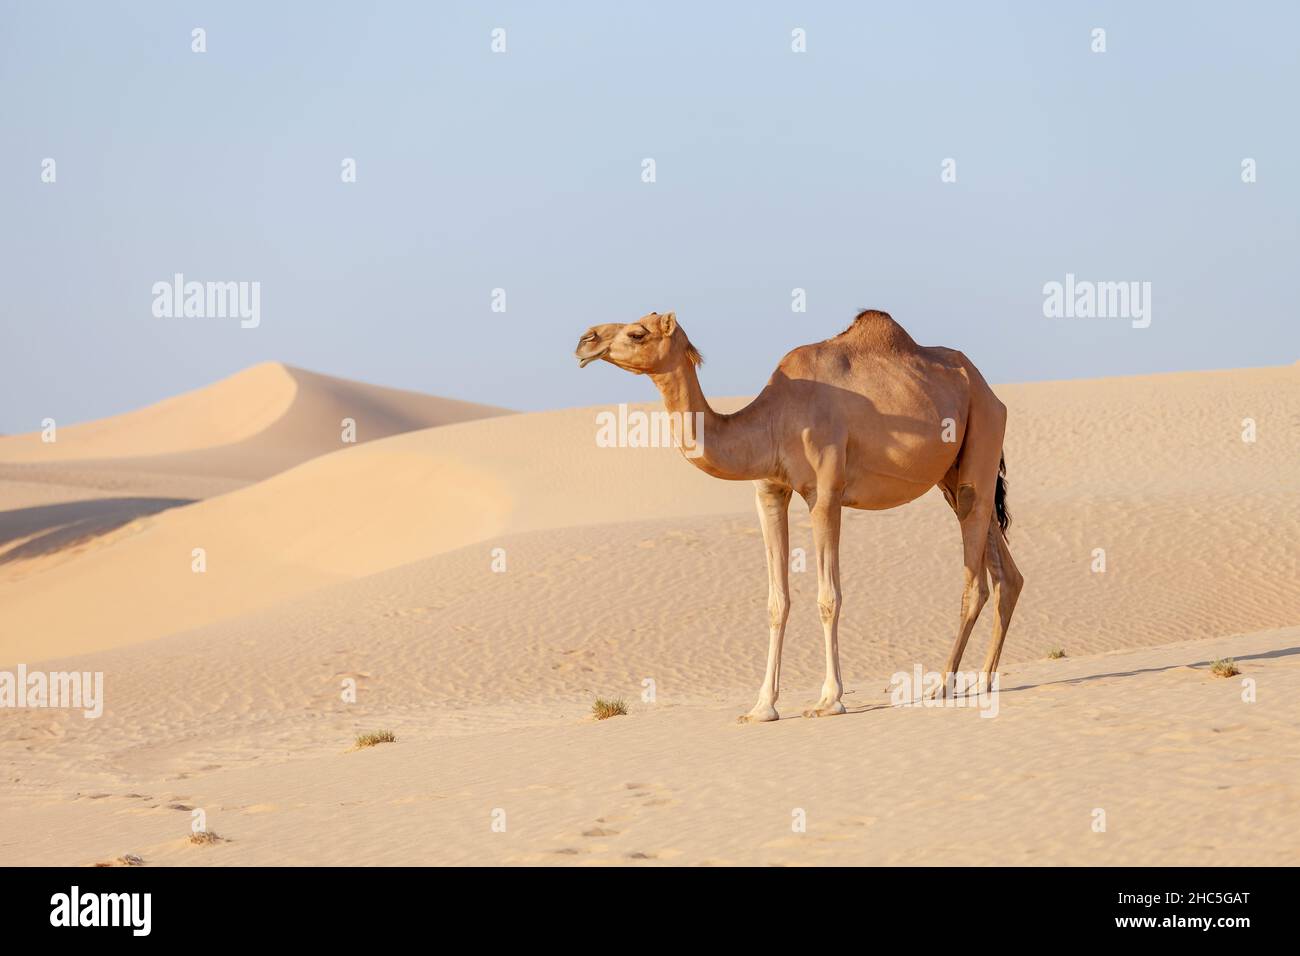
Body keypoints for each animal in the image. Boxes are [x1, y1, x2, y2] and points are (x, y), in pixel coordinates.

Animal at [575, 309, 1023, 722]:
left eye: (637, 332)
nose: (585, 340)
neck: (773, 420)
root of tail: (989, 390)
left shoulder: (825, 494)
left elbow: (828, 597)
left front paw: (829, 700)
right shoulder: (769, 491)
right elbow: (777, 601)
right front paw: (761, 707)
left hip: (982, 432)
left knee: (975, 578)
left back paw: (943, 685)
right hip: (952, 474)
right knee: (1005, 571)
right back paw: (983, 681)